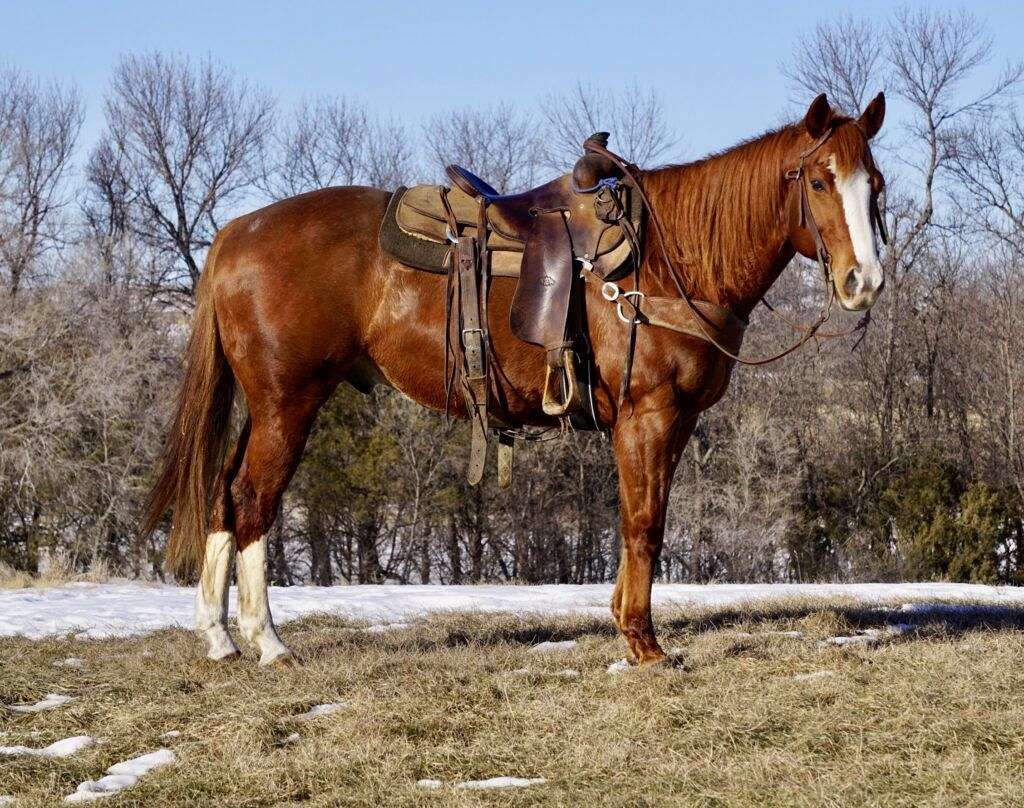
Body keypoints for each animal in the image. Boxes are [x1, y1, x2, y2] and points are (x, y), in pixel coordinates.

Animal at [142, 92, 887, 667]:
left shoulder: (675, 422)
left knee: (222, 493)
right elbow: (643, 523)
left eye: (874, 185)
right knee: (253, 499)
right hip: (286, 403)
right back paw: (267, 642)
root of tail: (238, 232)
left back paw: (219, 638)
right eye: (817, 182)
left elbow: (645, 520)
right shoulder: (647, 416)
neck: (670, 258)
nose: (865, 282)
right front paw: (644, 645)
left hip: (264, 405)